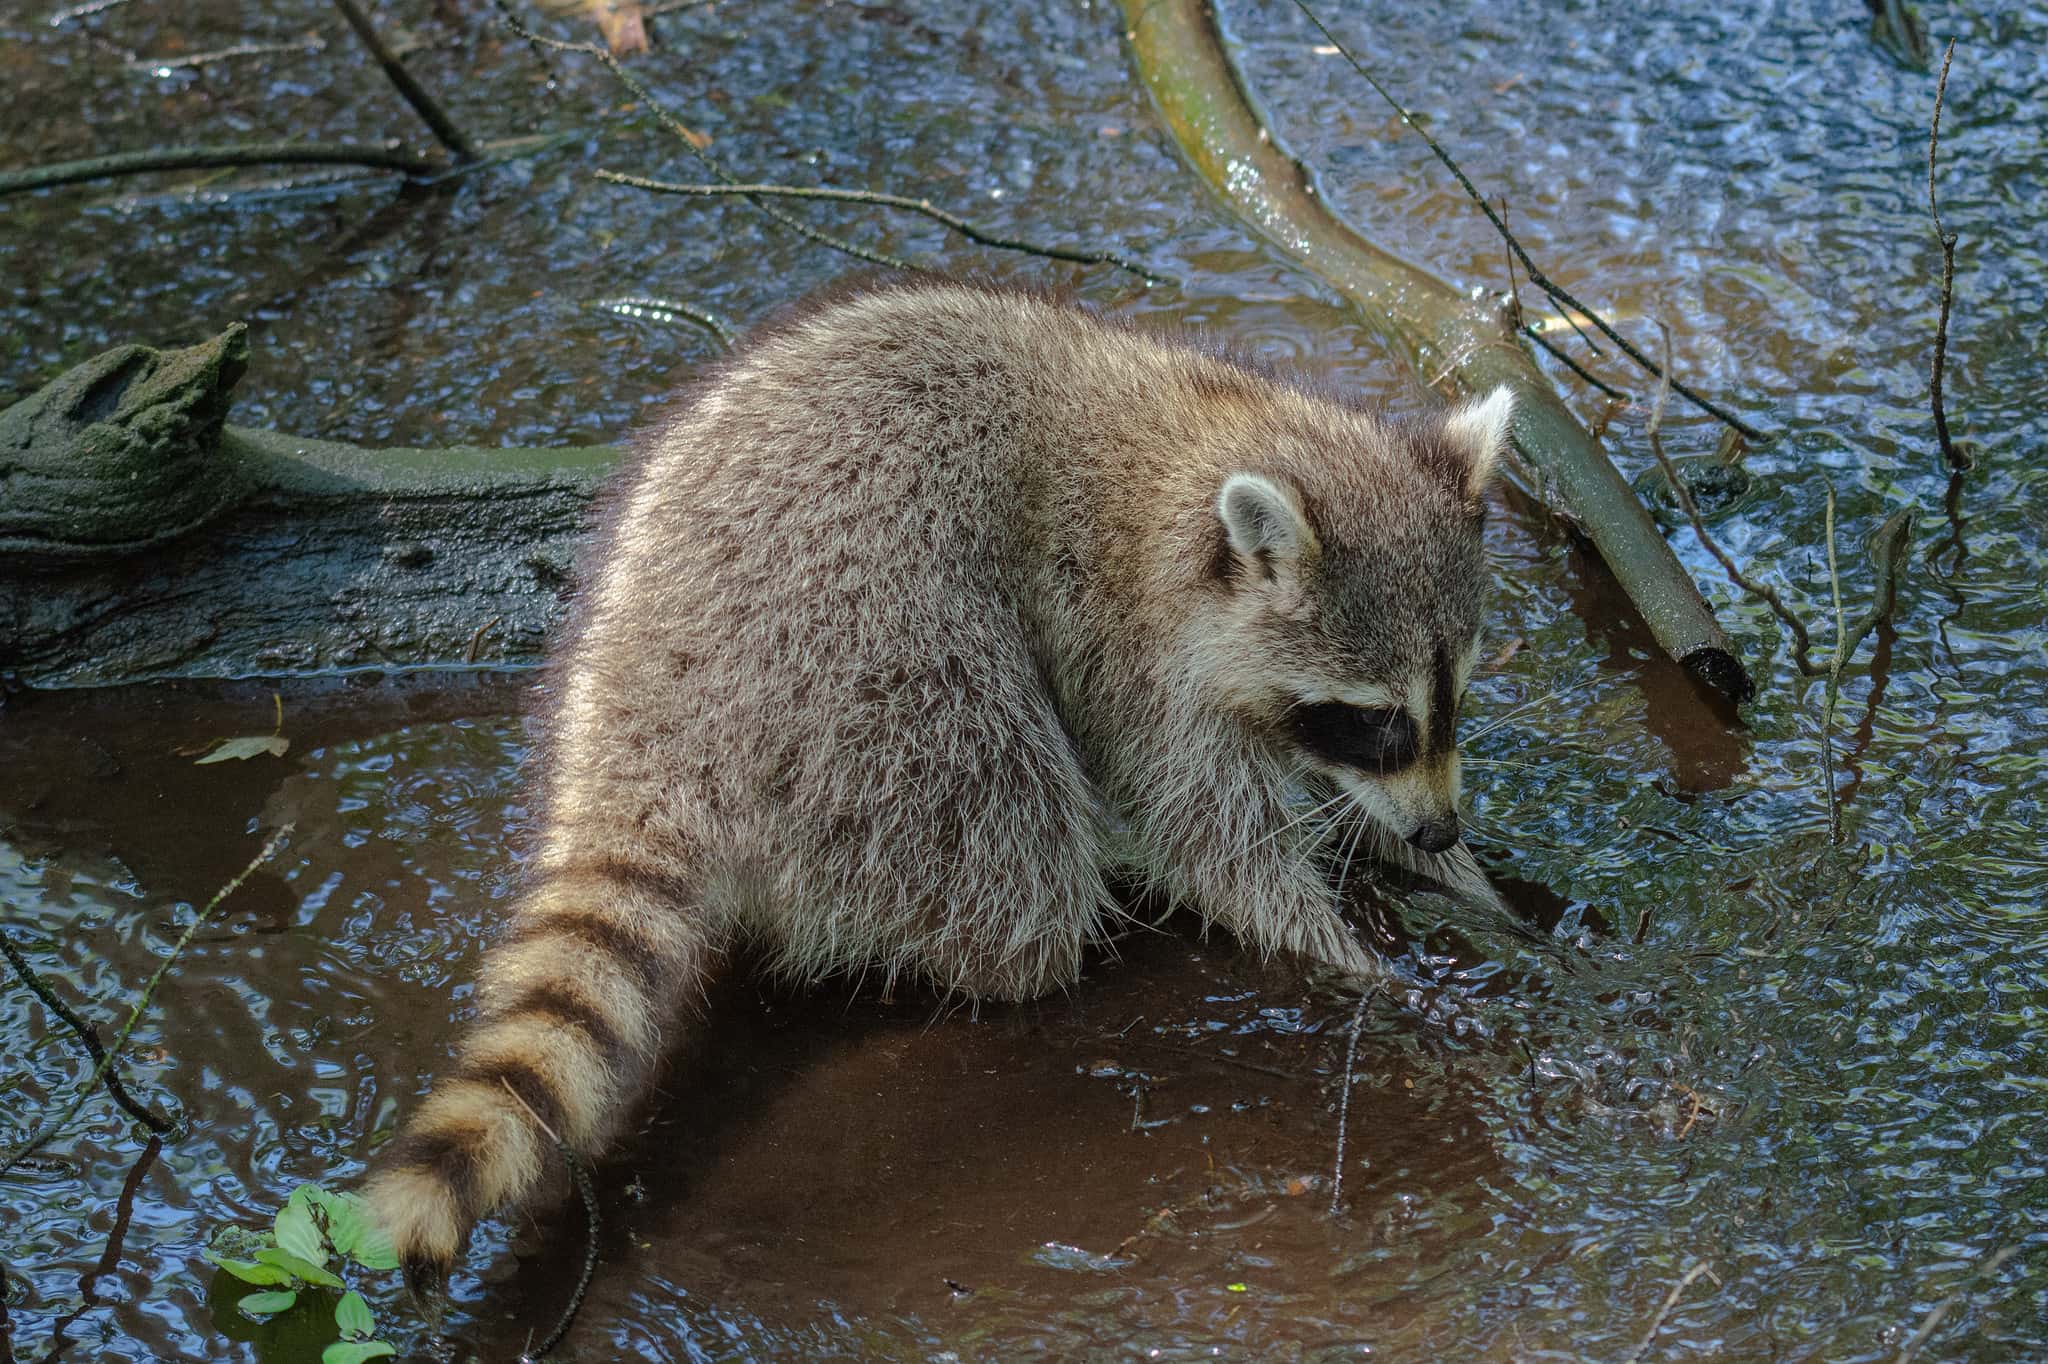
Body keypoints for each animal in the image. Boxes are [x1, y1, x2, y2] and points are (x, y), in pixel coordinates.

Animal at [366, 279, 1513, 1286]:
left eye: (1450, 705)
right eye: (1374, 720)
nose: (1440, 831)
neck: (1216, 433)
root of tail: (645, 739)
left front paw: (1463, 884)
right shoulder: (1127, 636)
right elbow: (1212, 836)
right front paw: (1358, 960)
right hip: (875, 677)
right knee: (1020, 869)